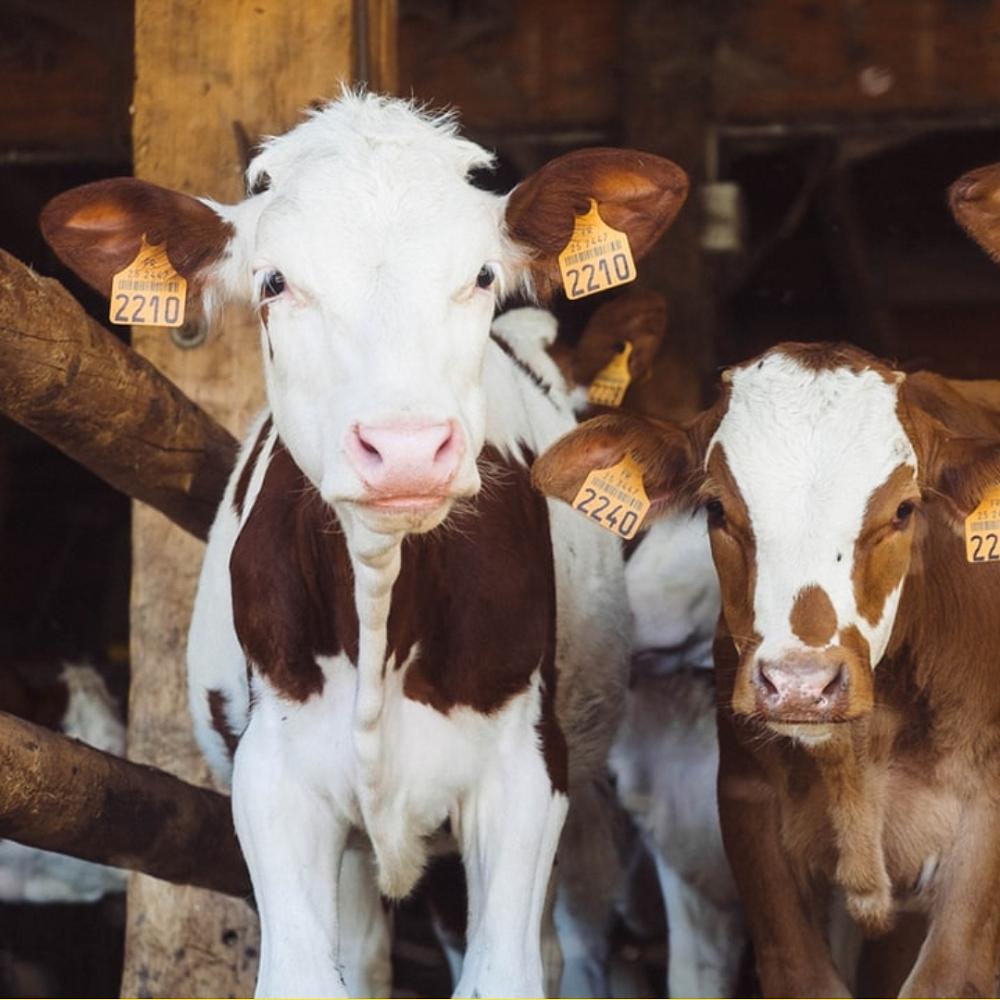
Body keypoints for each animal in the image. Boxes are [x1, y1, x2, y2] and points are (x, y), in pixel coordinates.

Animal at [40, 91, 688, 998]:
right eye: (274, 281)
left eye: (481, 275)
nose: (407, 448)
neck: (382, 604)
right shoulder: (274, 780)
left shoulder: (525, 776)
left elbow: (503, 971)